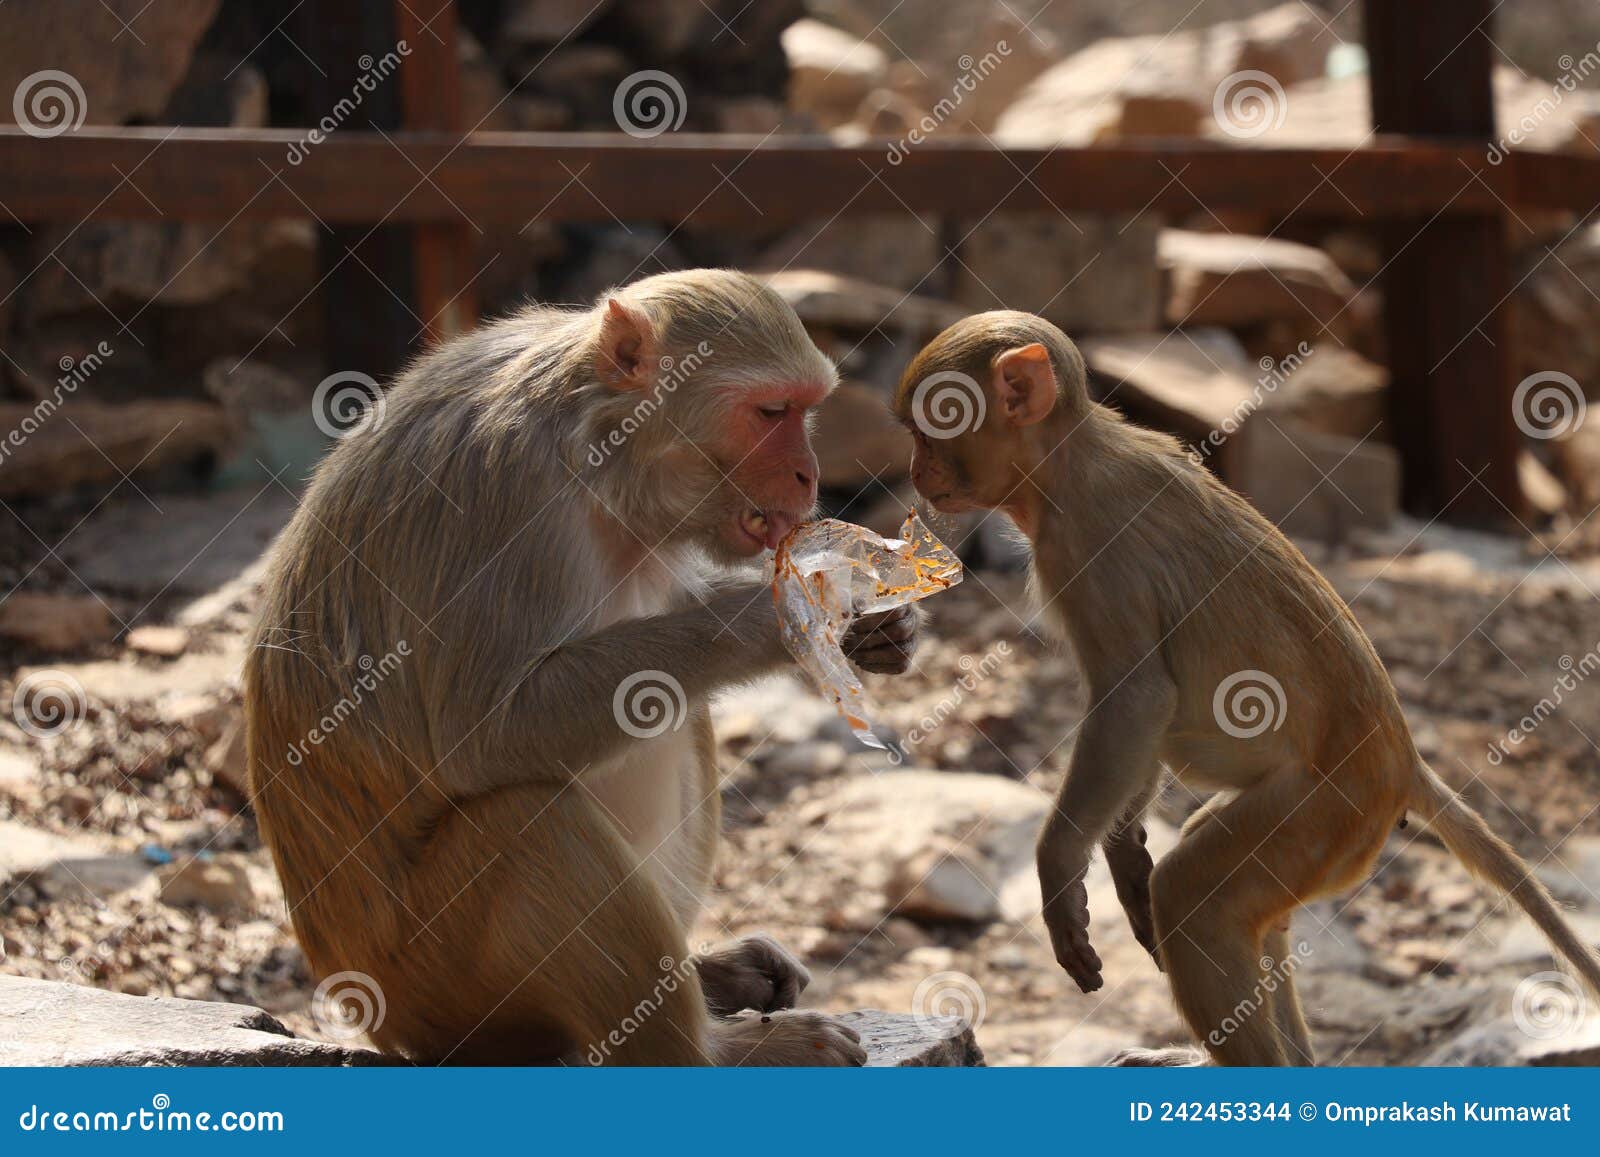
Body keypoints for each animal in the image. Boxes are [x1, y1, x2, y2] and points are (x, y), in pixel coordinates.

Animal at [244, 269, 921, 1065]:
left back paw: (709, 977)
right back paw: (715, 1053)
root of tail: (374, 1012)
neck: (596, 454)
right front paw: (788, 611)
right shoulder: (503, 498)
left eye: (805, 411)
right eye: (770, 411)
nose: (808, 475)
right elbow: (486, 733)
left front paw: (885, 631)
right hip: (442, 988)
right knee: (532, 818)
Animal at [893, 310, 1600, 1066]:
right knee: (1247, 907)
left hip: (1322, 818)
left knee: (1194, 900)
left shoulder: (1087, 553)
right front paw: (1121, 849)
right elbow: (1144, 723)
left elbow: (1137, 698)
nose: (913, 471)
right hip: (1332, 839)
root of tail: (1402, 764)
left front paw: (1061, 872)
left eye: (930, 430)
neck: (1066, 460)